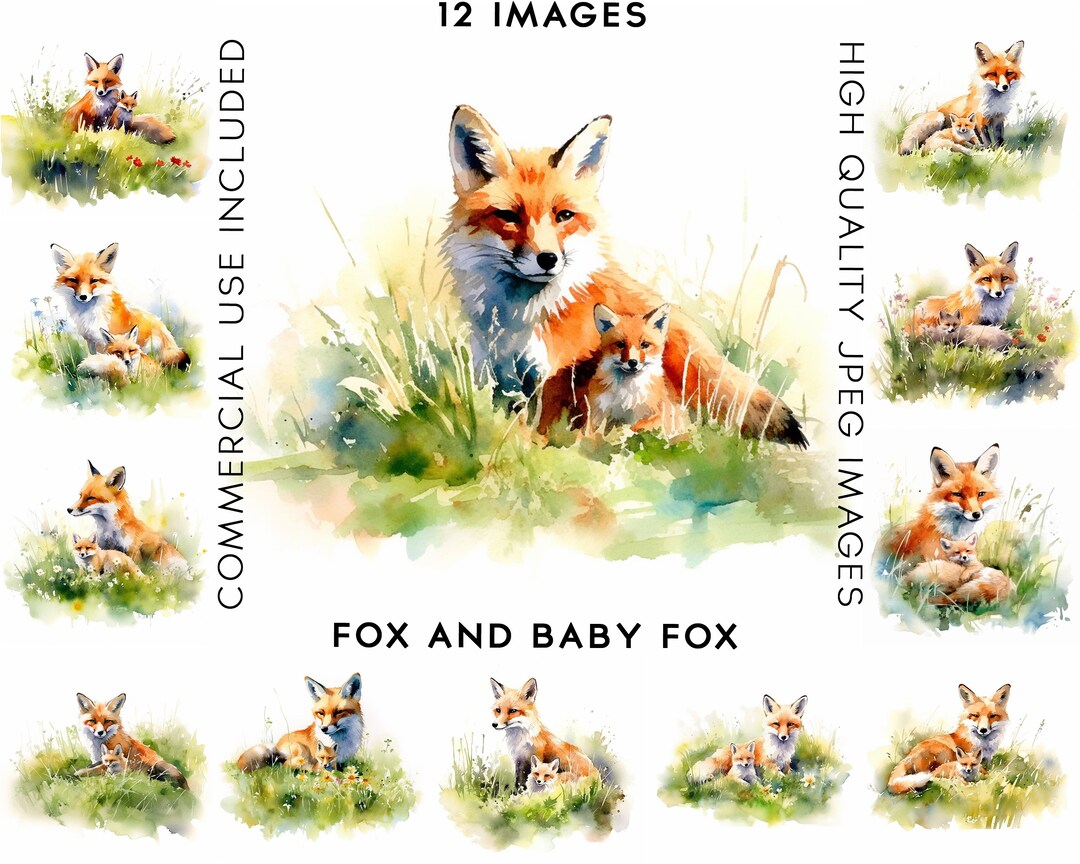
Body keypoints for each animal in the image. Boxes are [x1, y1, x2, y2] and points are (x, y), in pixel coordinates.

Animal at [51, 243, 191, 369]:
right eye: (73, 280)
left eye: (94, 280)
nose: (83, 297)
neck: (89, 313)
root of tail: (171, 340)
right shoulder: (91, 341)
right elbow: (93, 357)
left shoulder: (104, 341)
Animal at [576, 303, 688, 435]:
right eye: (620, 344)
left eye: (644, 345)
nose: (633, 362)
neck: (628, 394)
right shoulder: (597, 413)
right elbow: (585, 435)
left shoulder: (660, 413)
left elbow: (639, 426)